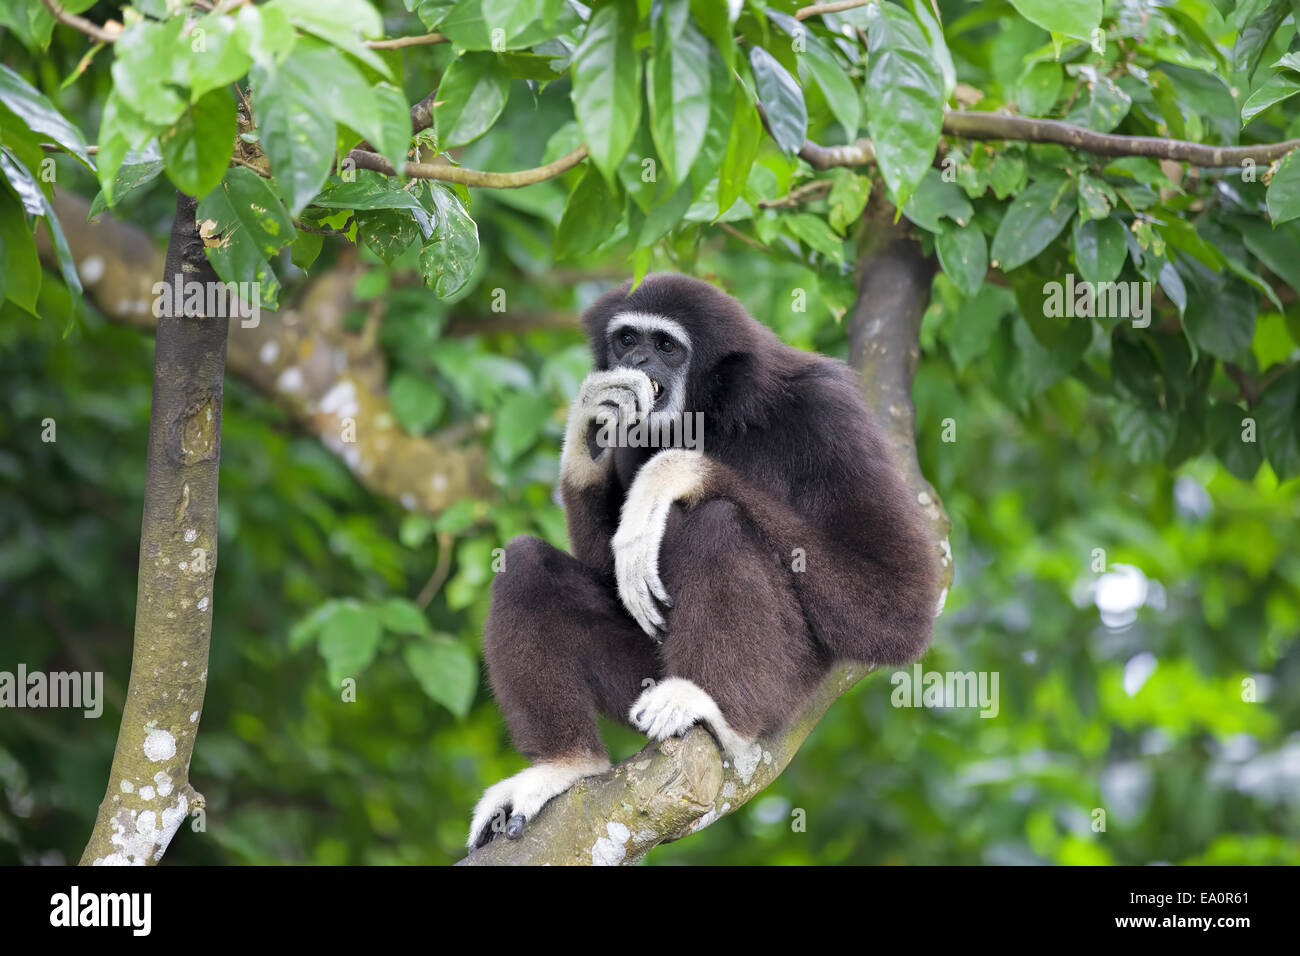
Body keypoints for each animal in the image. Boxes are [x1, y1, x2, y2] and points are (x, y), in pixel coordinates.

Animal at [467, 273, 939, 849]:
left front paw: (671, 474)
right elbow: (608, 568)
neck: (720, 413)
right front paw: (587, 429)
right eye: (627, 340)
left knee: (717, 522)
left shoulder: (829, 411)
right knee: (525, 561)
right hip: (644, 671)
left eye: (666, 346)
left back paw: (714, 705)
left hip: (786, 684)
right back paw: (566, 765)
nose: (639, 363)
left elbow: (899, 607)